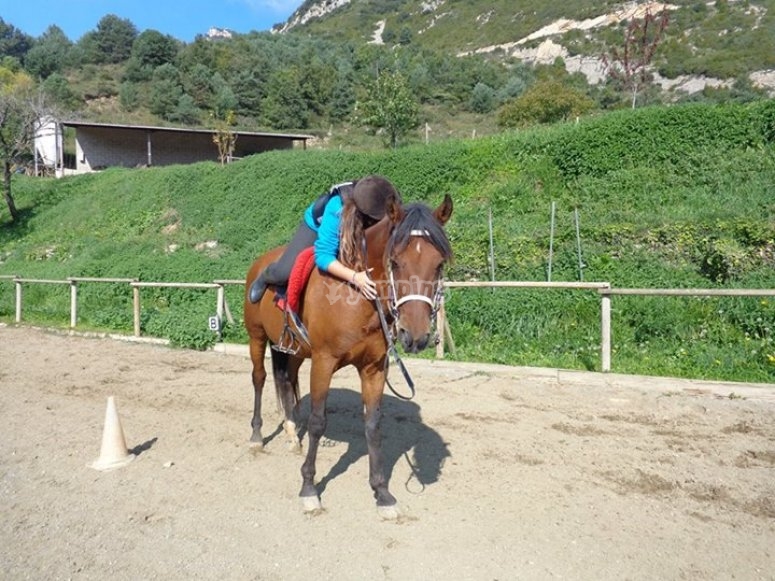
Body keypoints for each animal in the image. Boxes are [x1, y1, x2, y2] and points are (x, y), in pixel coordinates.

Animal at [243, 189, 453, 518]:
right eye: (395, 262)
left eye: (439, 264)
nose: (416, 336)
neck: (357, 299)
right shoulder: (323, 362)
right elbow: (318, 422)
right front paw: (309, 489)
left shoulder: (374, 367)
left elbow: (373, 425)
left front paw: (382, 493)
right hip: (257, 337)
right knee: (260, 378)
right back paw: (256, 436)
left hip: (293, 350)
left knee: (286, 379)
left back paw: (291, 432)